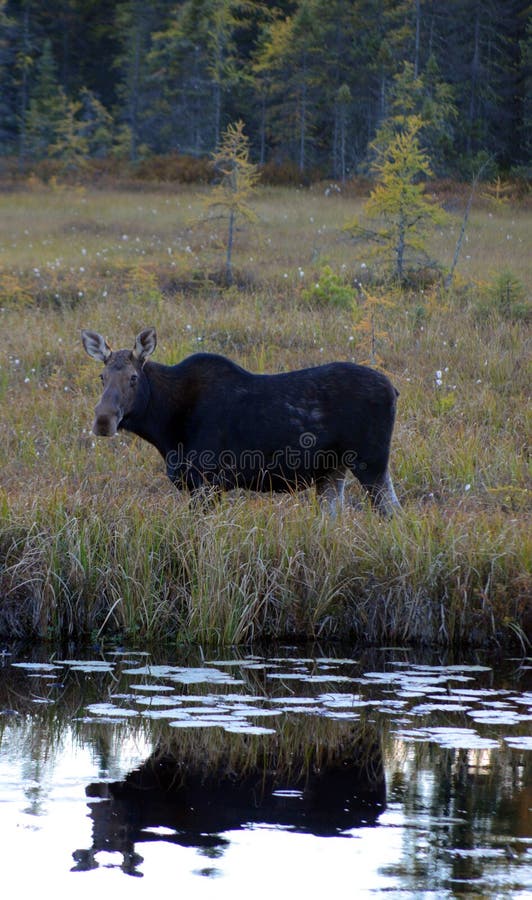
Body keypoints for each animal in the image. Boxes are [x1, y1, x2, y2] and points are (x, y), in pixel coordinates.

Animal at [81, 327, 400, 515]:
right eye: (101, 377)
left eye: (133, 377)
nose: (103, 420)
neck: (164, 426)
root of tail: (394, 390)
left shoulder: (207, 482)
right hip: (333, 471)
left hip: (371, 463)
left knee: (393, 513)